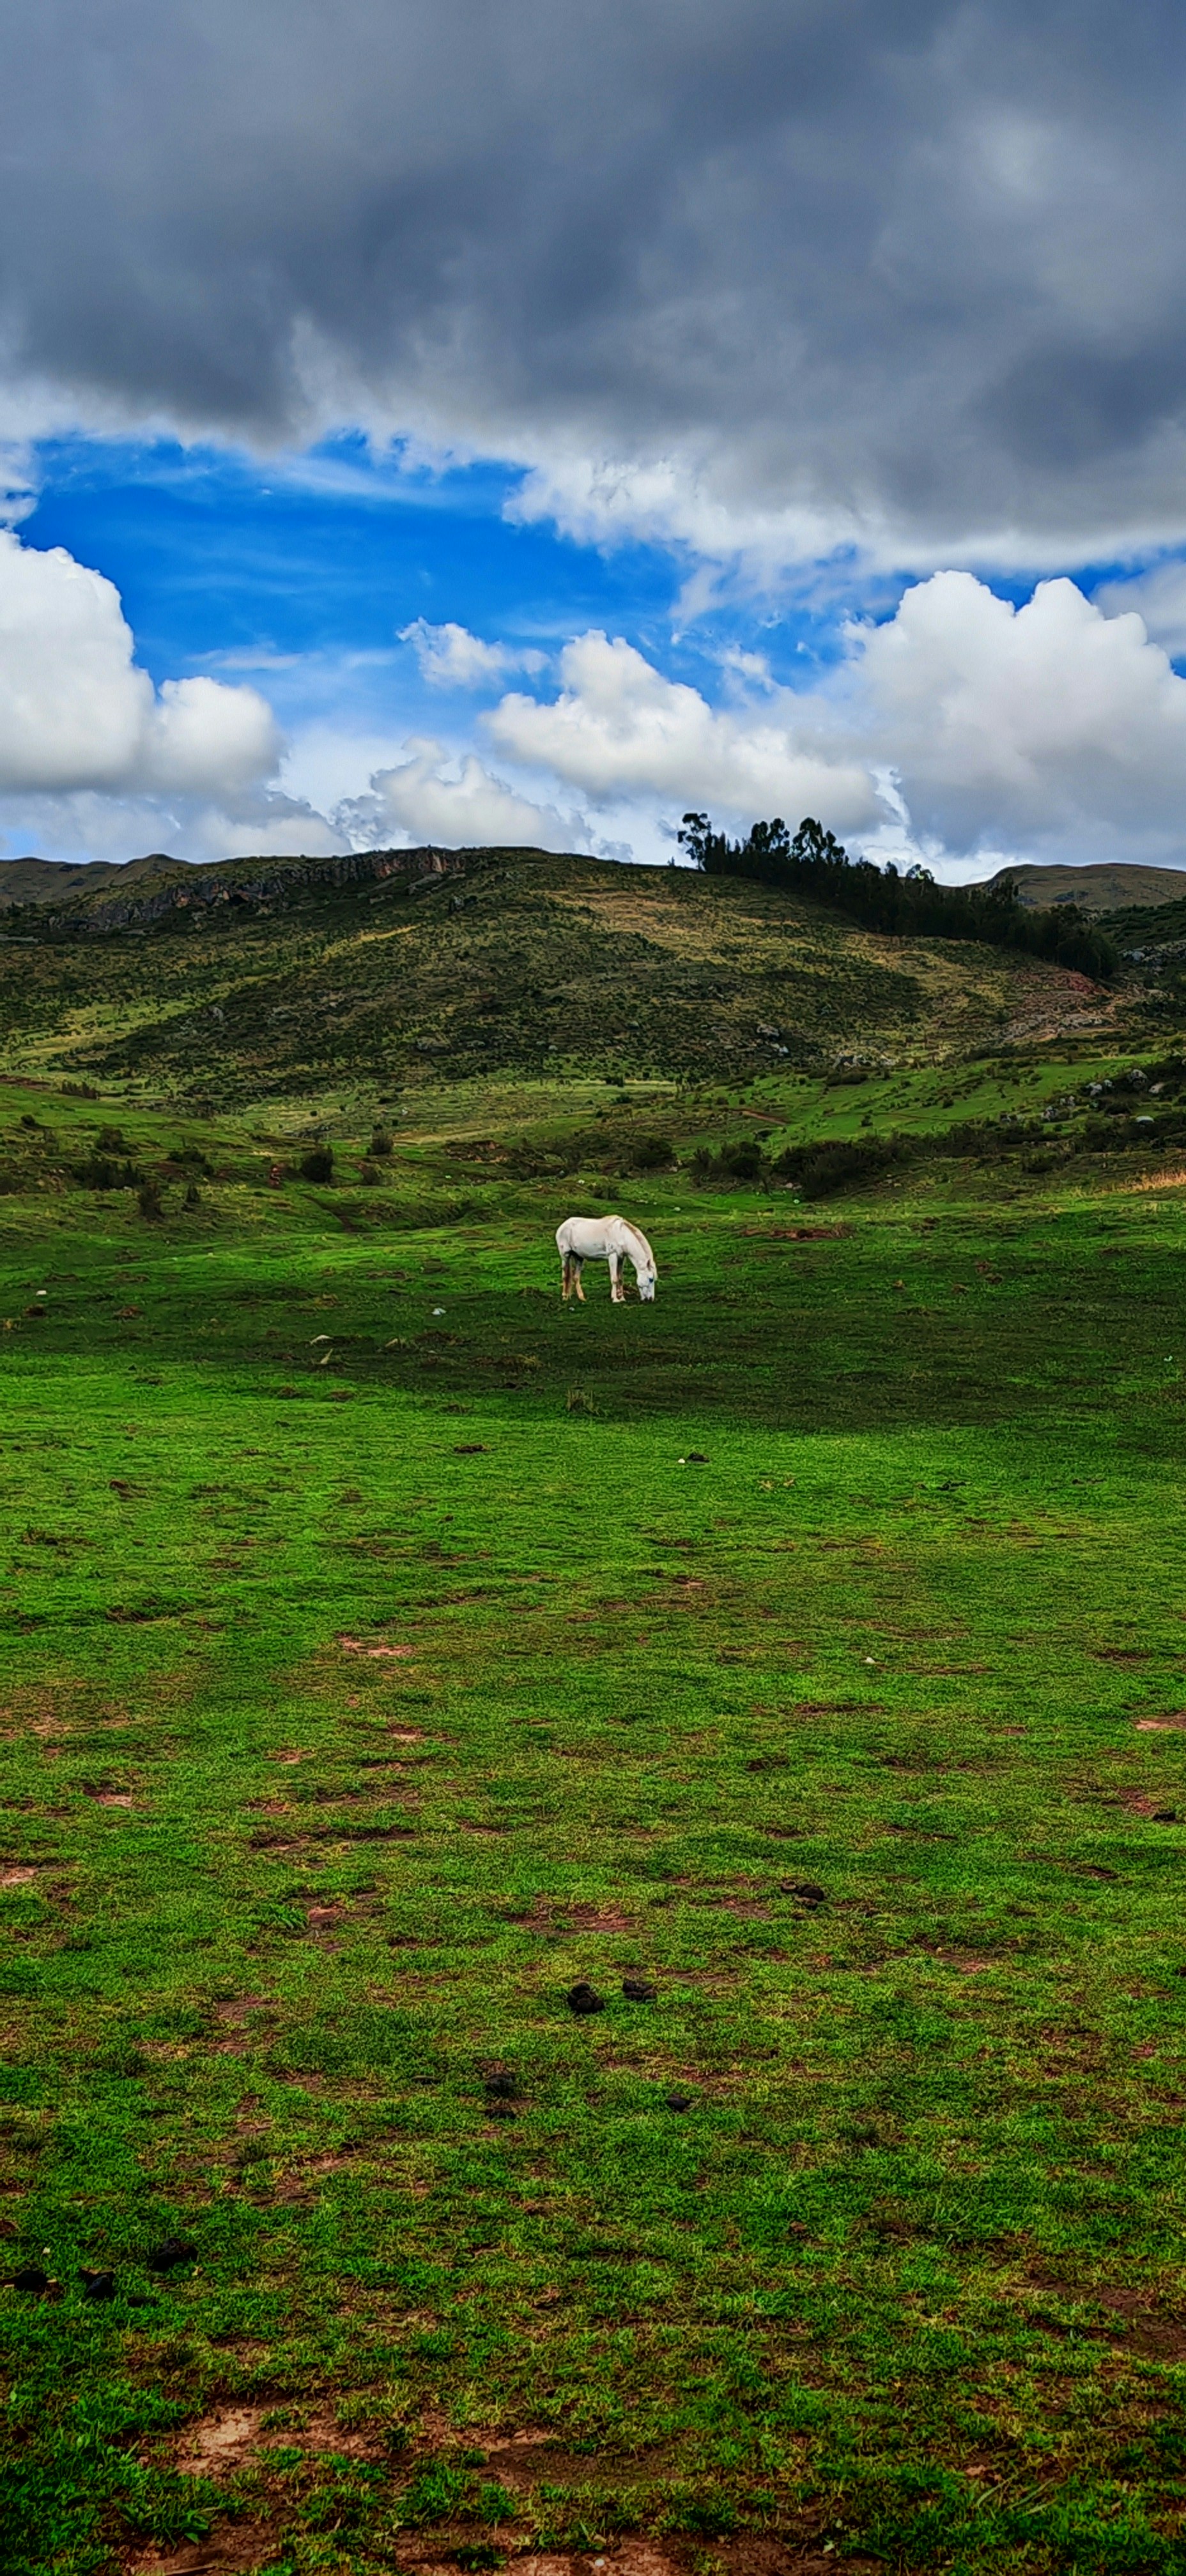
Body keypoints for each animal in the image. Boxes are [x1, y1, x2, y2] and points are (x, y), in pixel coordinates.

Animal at [556, 1214, 658, 1304]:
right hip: (565, 1256)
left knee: (576, 1277)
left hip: (579, 1257)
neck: (622, 1234)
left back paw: (582, 1298)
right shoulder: (613, 1256)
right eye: (651, 1279)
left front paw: (622, 1298)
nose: (650, 1299)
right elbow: (615, 1279)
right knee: (565, 1276)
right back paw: (565, 1296)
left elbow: (620, 1278)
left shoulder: (621, 1258)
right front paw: (615, 1299)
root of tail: (563, 1226)